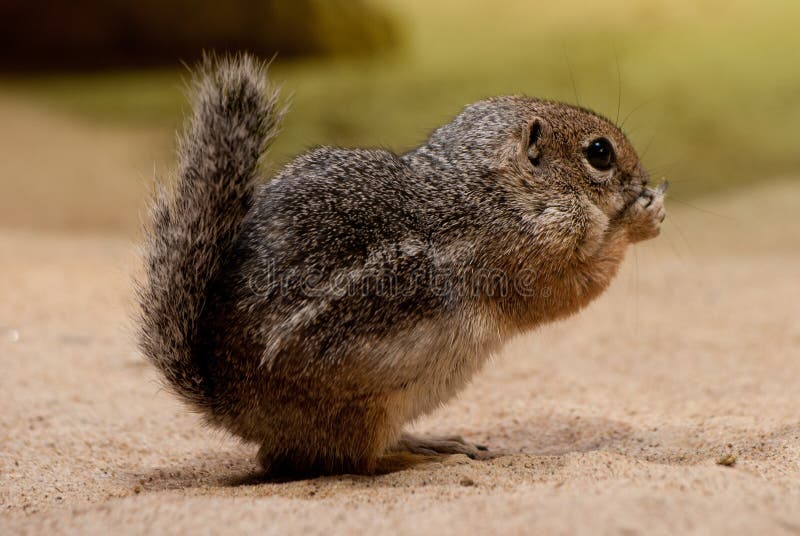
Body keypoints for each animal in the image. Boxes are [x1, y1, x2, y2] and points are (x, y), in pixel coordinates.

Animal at [137, 54, 666, 476]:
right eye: (600, 152)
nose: (642, 178)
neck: (497, 190)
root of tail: (231, 406)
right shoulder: (525, 255)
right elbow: (575, 286)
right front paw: (637, 220)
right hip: (366, 403)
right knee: (334, 460)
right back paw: (420, 456)